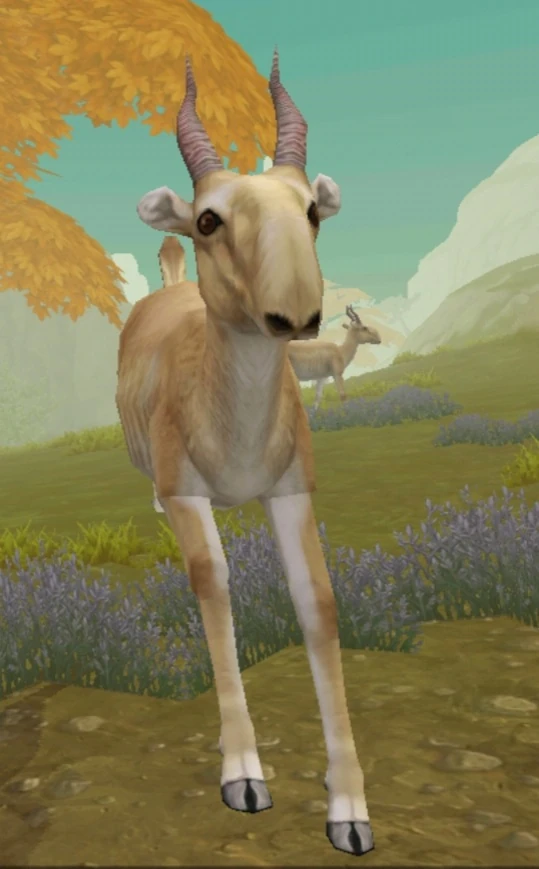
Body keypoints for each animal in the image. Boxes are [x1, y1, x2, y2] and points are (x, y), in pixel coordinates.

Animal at [116, 52, 374, 857]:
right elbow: (215, 585)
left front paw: (350, 809)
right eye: (208, 218)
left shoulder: (291, 494)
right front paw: (244, 774)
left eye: (312, 210)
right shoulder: (191, 498)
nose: (295, 315)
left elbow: (316, 603)